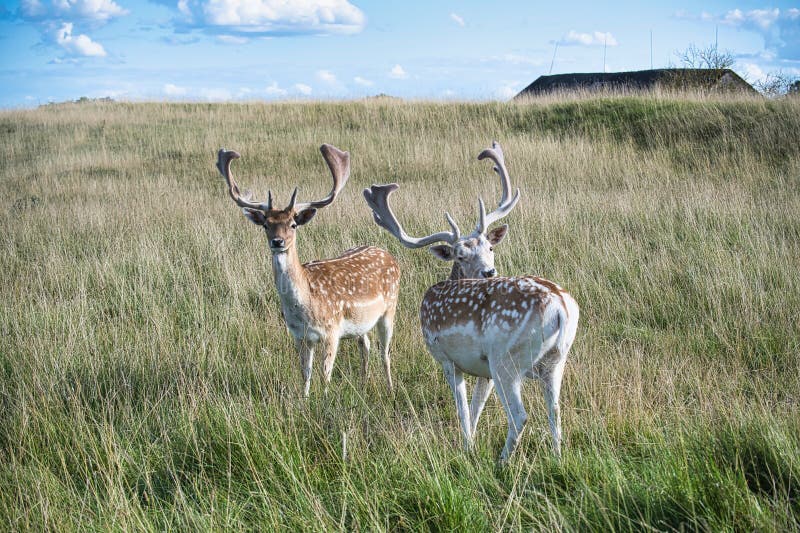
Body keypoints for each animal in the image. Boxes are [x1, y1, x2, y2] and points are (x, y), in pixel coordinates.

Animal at [216, 144, 400, 397]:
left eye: (293, 224)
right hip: (361, 322)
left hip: (390, 308)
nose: (277, 242)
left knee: (385, 351)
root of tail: (389, 255)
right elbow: (306, 372)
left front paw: (324, 400)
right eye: (266, 224)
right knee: (366, 344)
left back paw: (391, 389)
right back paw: (363, 385)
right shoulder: (299, 336)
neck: (305, 305)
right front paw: (304, 399)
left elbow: (325, 373)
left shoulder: (331, 330)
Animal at [363, 142, 579, 463]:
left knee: (520, 416)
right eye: (461, 255)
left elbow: (463, 409)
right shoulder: (483, 371)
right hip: (555, 361)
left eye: (490, 247)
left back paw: (502, 463)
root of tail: (561, 308)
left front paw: (466, 447)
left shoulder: (446, 358)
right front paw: (471, 444)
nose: (489, 271)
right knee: (555, 410)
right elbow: (477, 407)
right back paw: (557, 458)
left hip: (506, 359)